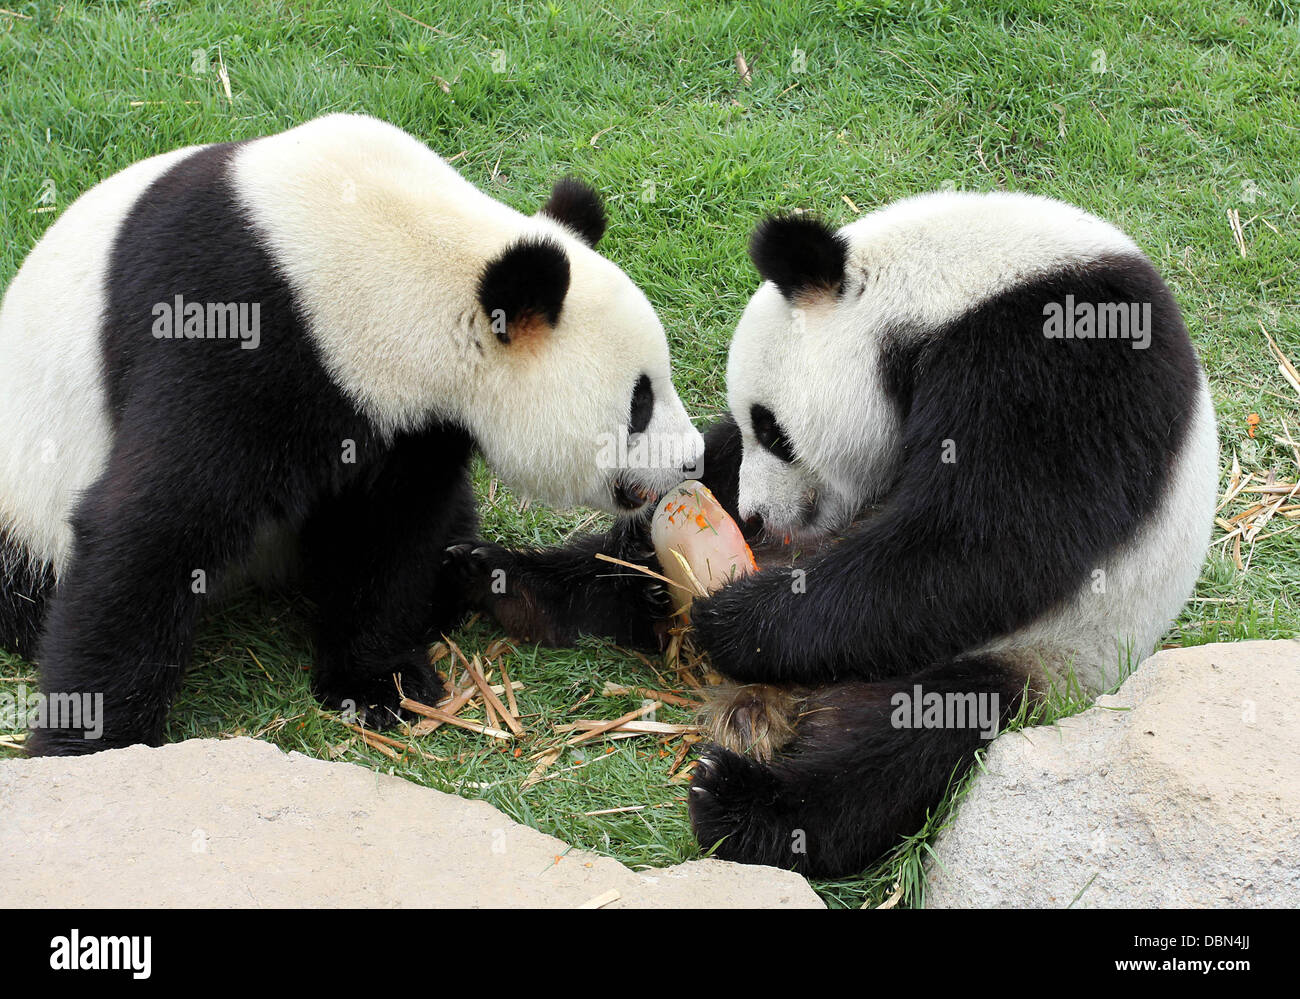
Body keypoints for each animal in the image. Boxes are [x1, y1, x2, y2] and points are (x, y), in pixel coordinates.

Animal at [0, 113, 703, 756]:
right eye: (640, 402)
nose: (692, 459)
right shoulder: (231, 326)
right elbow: (156, 524)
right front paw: (90, 743)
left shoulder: (414, 418)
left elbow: (389, 530)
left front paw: (378, 683)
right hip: (24, 497)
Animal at [450, 191, 1219, 877]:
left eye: (773, 428)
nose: (754, 520)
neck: (953, 288)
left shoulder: (1068, 352)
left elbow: (987, 543)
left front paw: (741, 622)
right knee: (642, 544)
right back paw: (516, 584)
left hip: (1044, 658)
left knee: (909, 745)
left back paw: (742, 806)